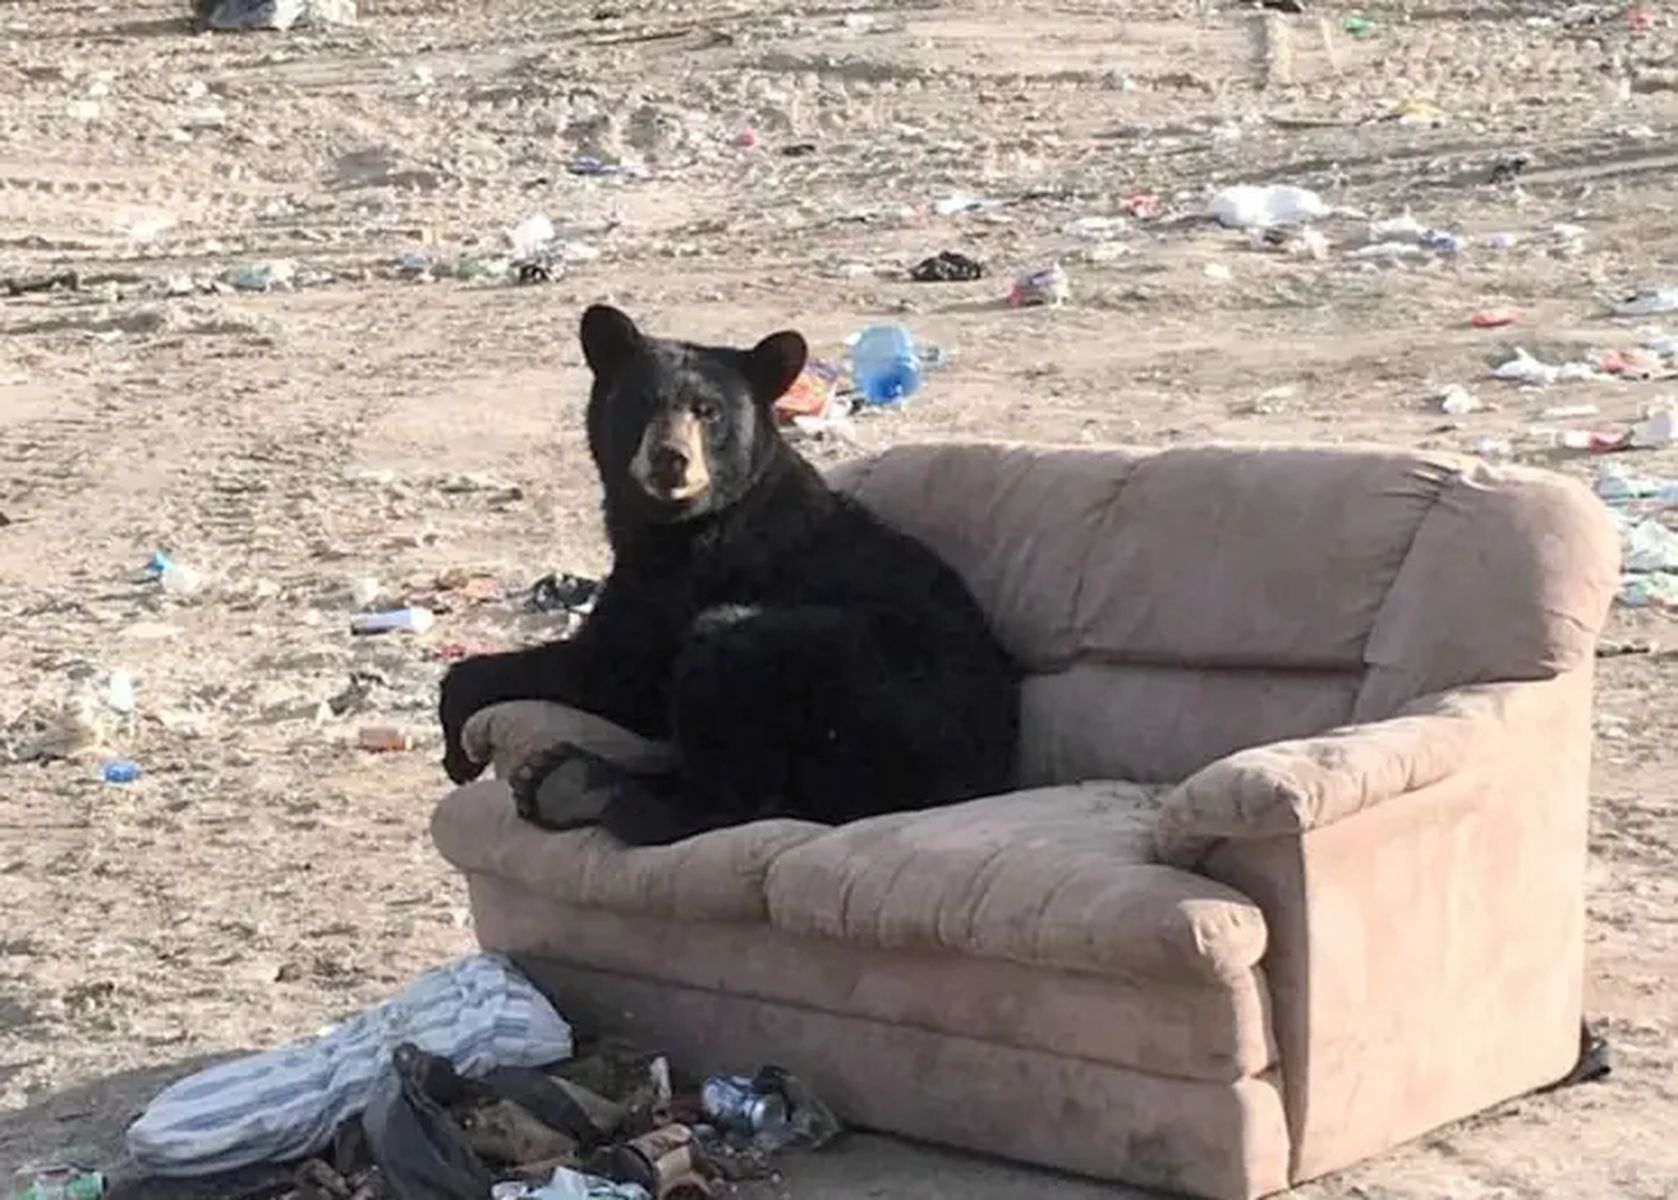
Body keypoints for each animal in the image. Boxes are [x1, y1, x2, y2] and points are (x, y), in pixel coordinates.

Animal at [438, 303, 1020, 846]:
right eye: (643, 402)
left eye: (708, 411)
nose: (670, 458)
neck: (678, 527)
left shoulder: (687, 583)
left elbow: (610, 671)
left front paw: (458, 749)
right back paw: (562, 779)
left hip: (859, 685)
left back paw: (591, 789)